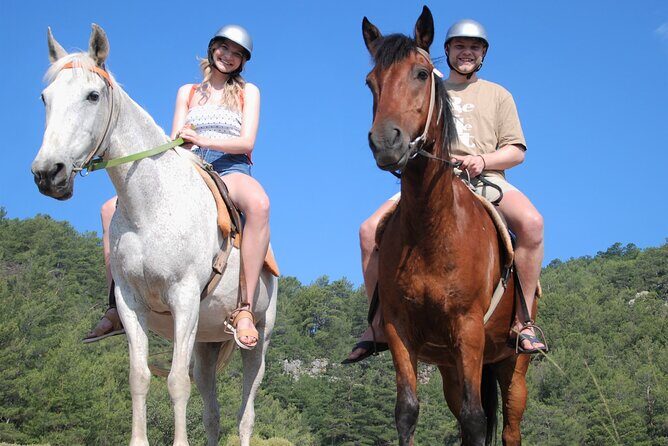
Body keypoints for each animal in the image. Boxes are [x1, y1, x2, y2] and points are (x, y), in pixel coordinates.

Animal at [31, 25, 277, 446]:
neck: (152, 204)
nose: (49, 173)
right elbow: (139, 377)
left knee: (246, 416)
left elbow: (176, 383)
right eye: (46, 97)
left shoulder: (184, 299)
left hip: (258, 338)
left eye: (92, 95)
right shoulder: (132, 304)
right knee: (212, 415)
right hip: (207, 342)